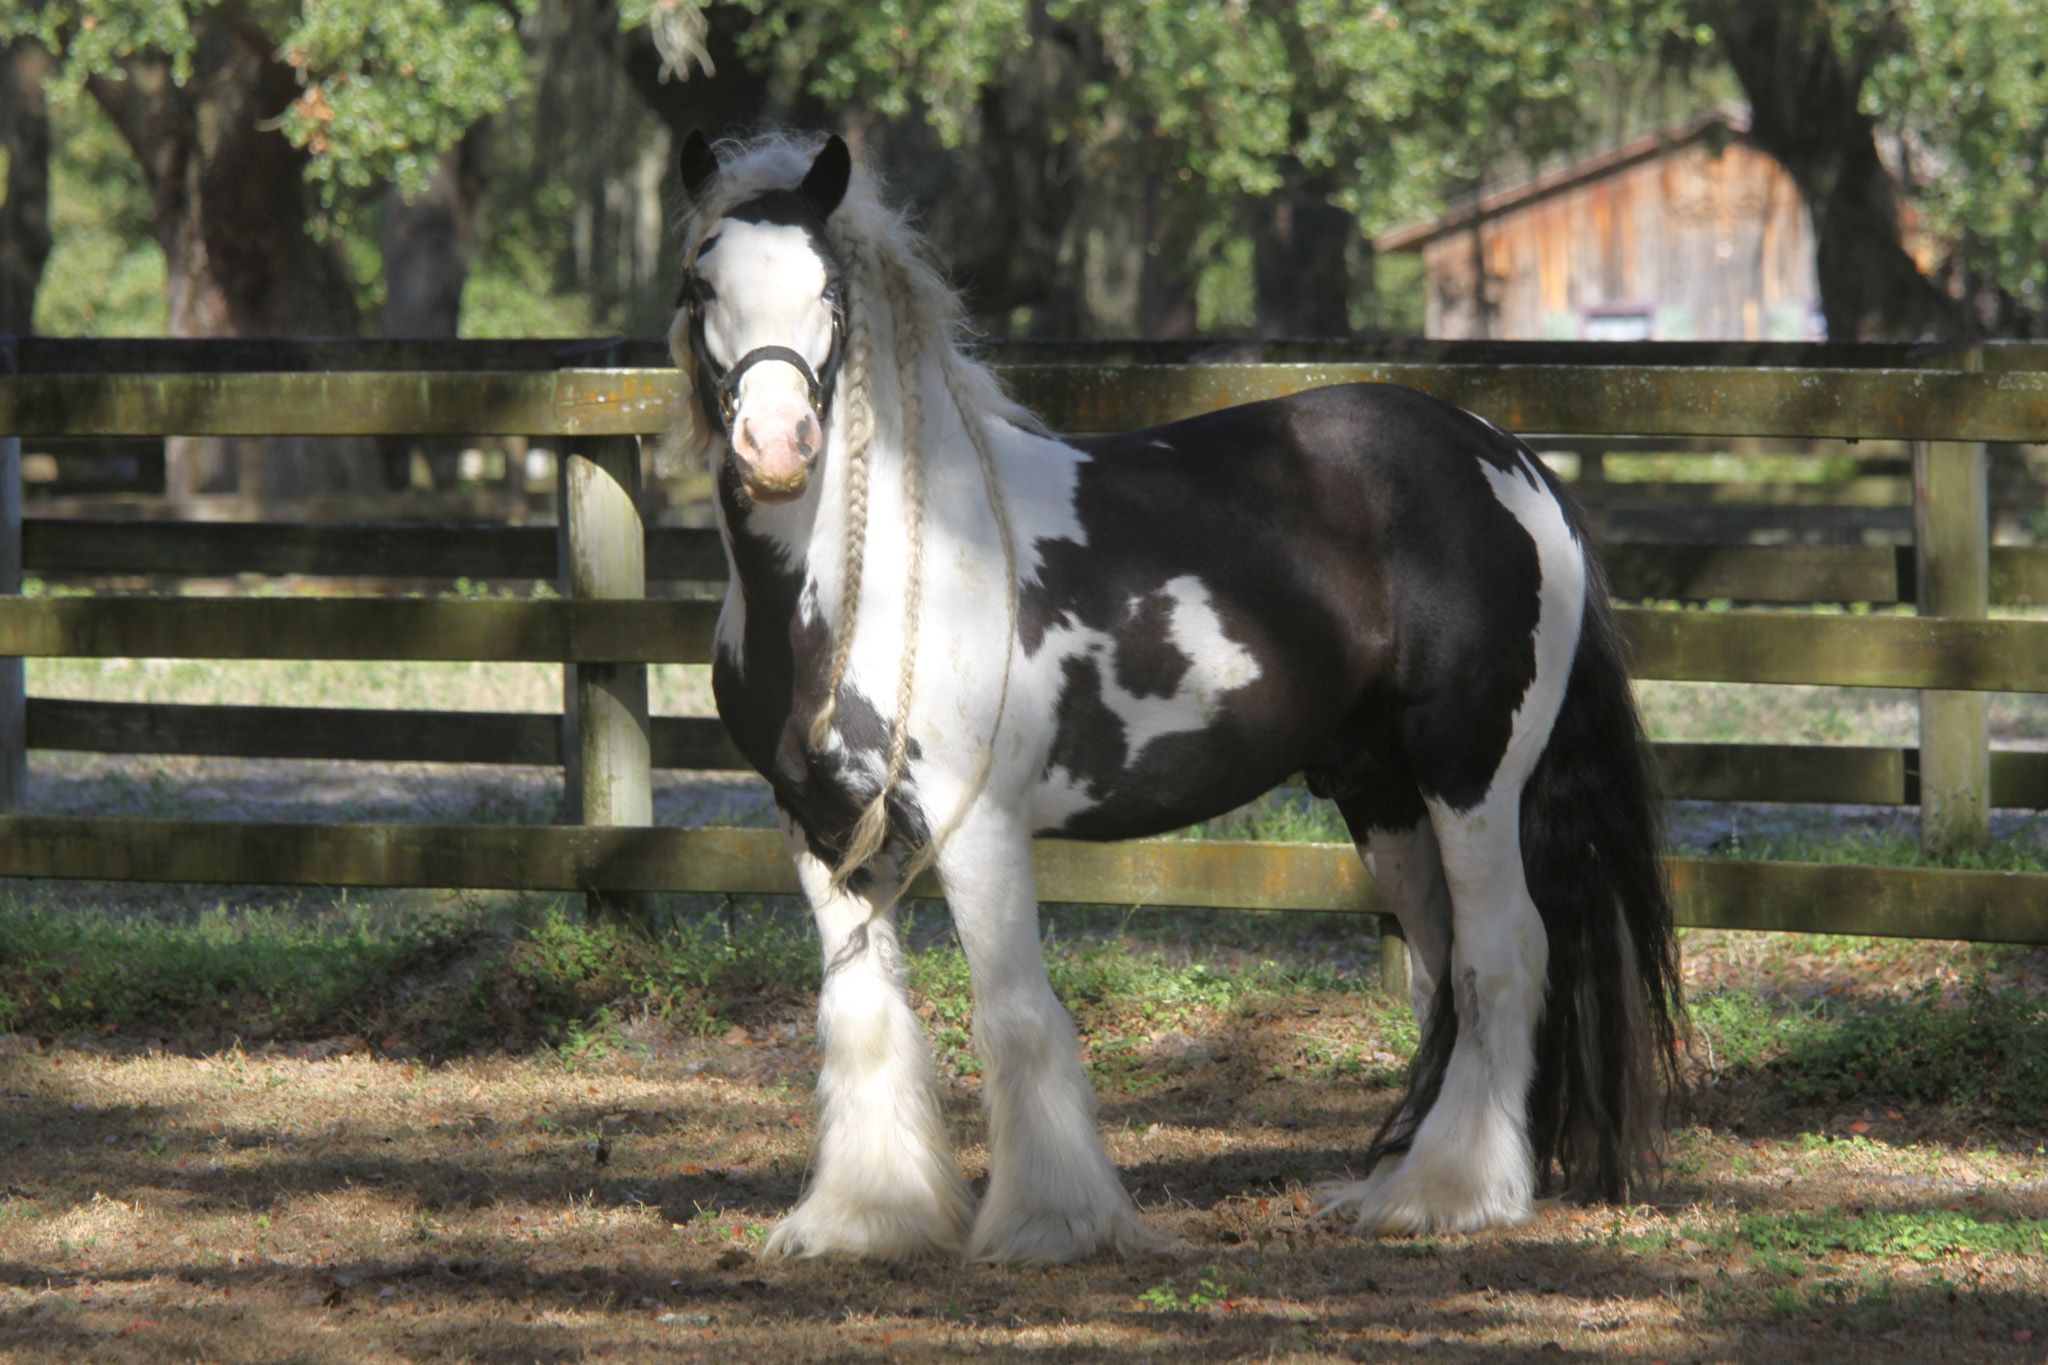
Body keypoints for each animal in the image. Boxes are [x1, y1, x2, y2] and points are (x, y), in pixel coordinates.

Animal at [664, 129, 1683, 1266]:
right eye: (700, 281)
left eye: (828, 290)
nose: (777, 447)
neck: (871, 581)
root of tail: (1511, 464)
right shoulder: (822, 832)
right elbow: (862, 1013)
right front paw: (868, 1216)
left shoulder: (977, 827)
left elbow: (1014, 1011)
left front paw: (1055, 1222)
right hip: (1384, 797)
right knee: (1446, 965)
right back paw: (1405, 1175)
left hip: (1472, 779)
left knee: (1504, 956)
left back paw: (1452, 1193)